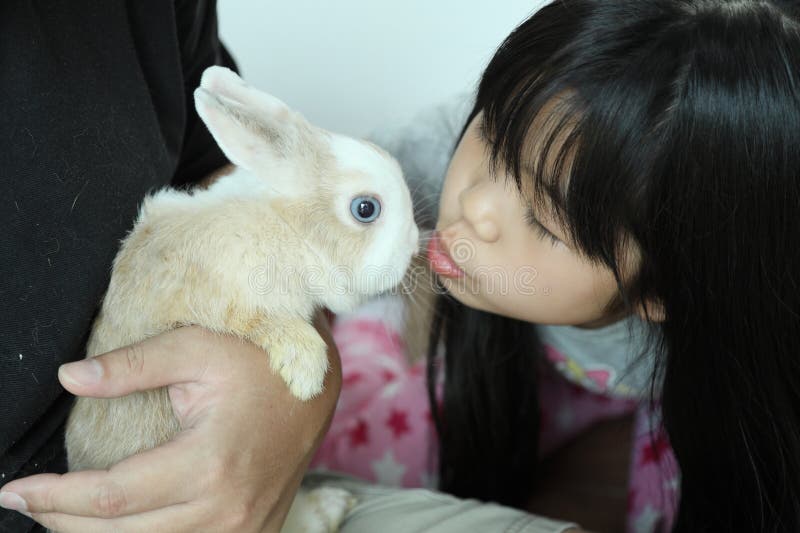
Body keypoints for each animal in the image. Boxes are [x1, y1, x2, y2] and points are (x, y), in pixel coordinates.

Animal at [64, 65, 420, 532]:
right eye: (365, 209)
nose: (414, 246)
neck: (288, 225)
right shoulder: (232, 293)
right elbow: (268, 323)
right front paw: (307, 374)